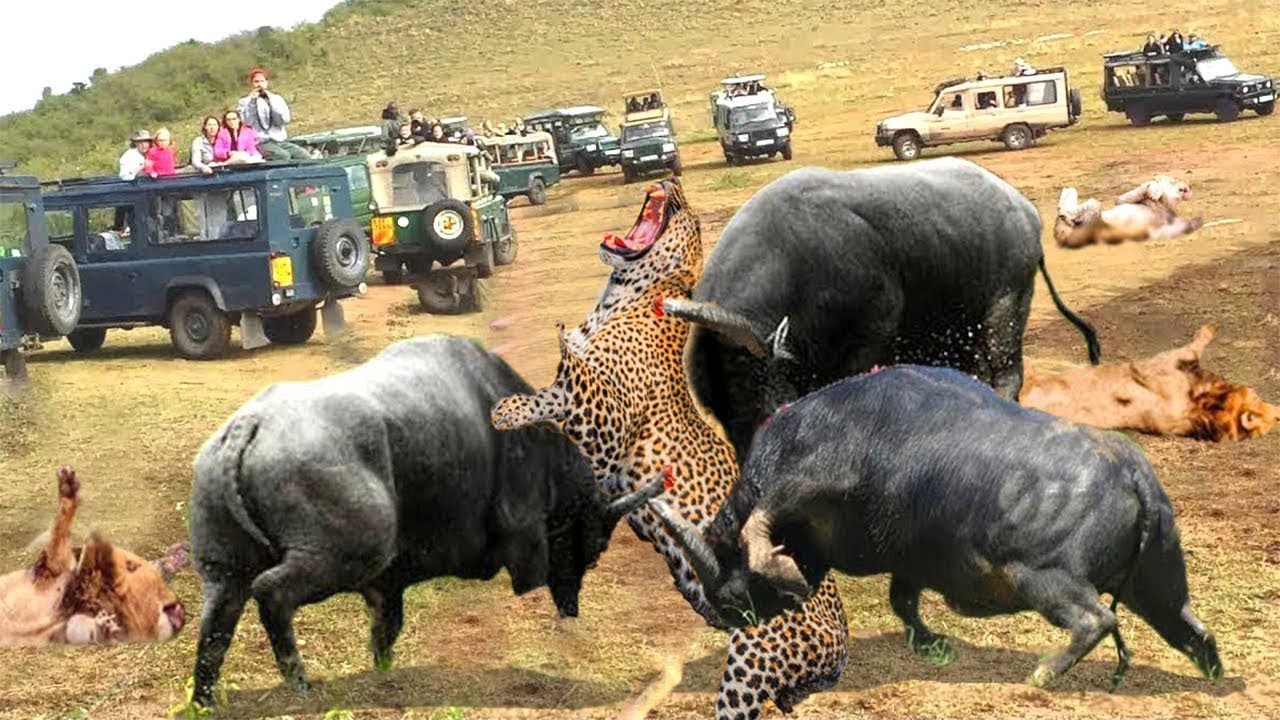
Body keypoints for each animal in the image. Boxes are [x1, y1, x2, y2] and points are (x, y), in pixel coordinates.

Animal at [187, 335, 661, 708]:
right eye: (594, 547)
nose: (571, 609)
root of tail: (249, 425)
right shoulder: (524, 535)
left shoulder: (387, 584)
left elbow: (387, 626)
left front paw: (383, 673)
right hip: (351, 550)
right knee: (271, 593)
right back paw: (301, 685)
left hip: (223, 567)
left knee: (218, 619)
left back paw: (205, 700)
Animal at [651, 364, 1222, 689]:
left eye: (728, 574)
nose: (726, 612)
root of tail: (1133, 473)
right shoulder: (910, 559)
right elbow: (902, 602)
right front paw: (932, 645)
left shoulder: (804, 482)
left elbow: (762, 521)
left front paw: (784, 571)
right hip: (1157, 582)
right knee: (1193, 628)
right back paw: (1213, 674)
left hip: (1045, 579)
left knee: (1096, 620)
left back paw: (1042, 673)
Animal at [663, 158, 1101, 462]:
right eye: (724, 422)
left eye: (773, 413)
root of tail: (1024, 208)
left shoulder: (872, 338)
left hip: (1006, 305)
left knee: (1007, 373)